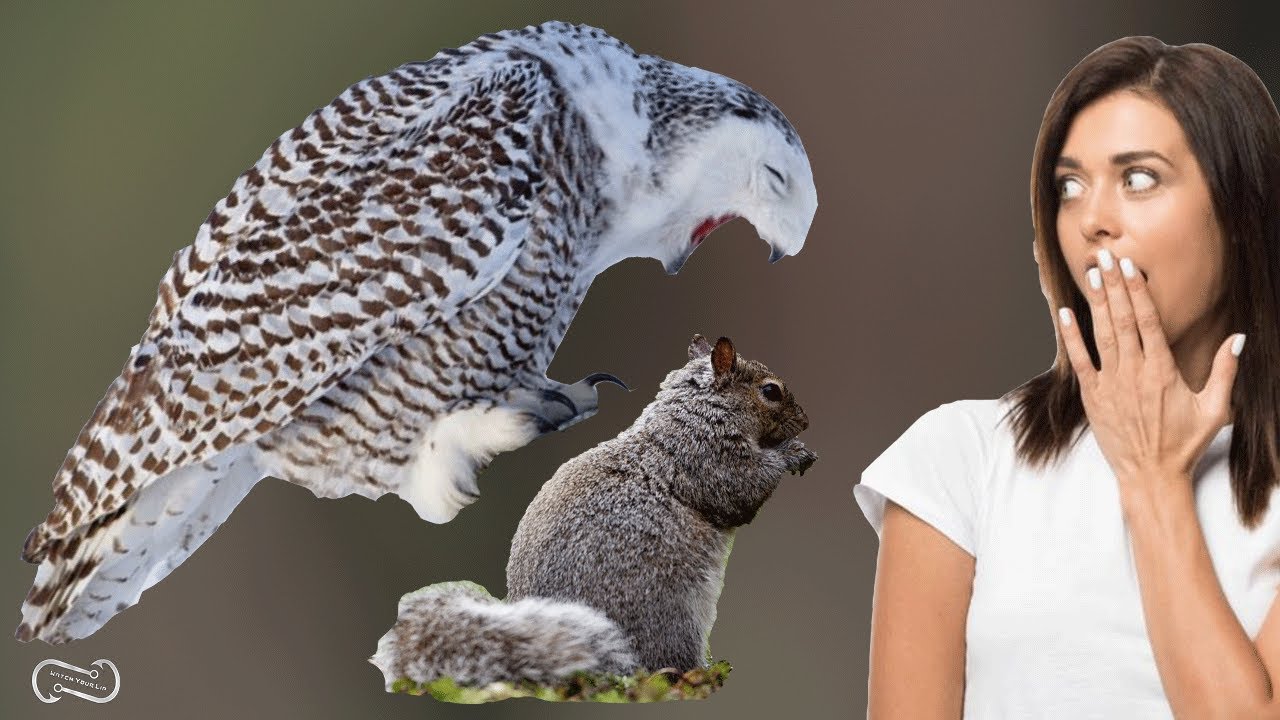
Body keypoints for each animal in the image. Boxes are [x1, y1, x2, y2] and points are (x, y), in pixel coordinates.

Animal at [371, 334, 816, 689]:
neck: (692, 412)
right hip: (669, 617)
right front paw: (792, 453)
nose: (806, 421)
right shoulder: (708, 458)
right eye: (770, 391)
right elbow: (742, 489)